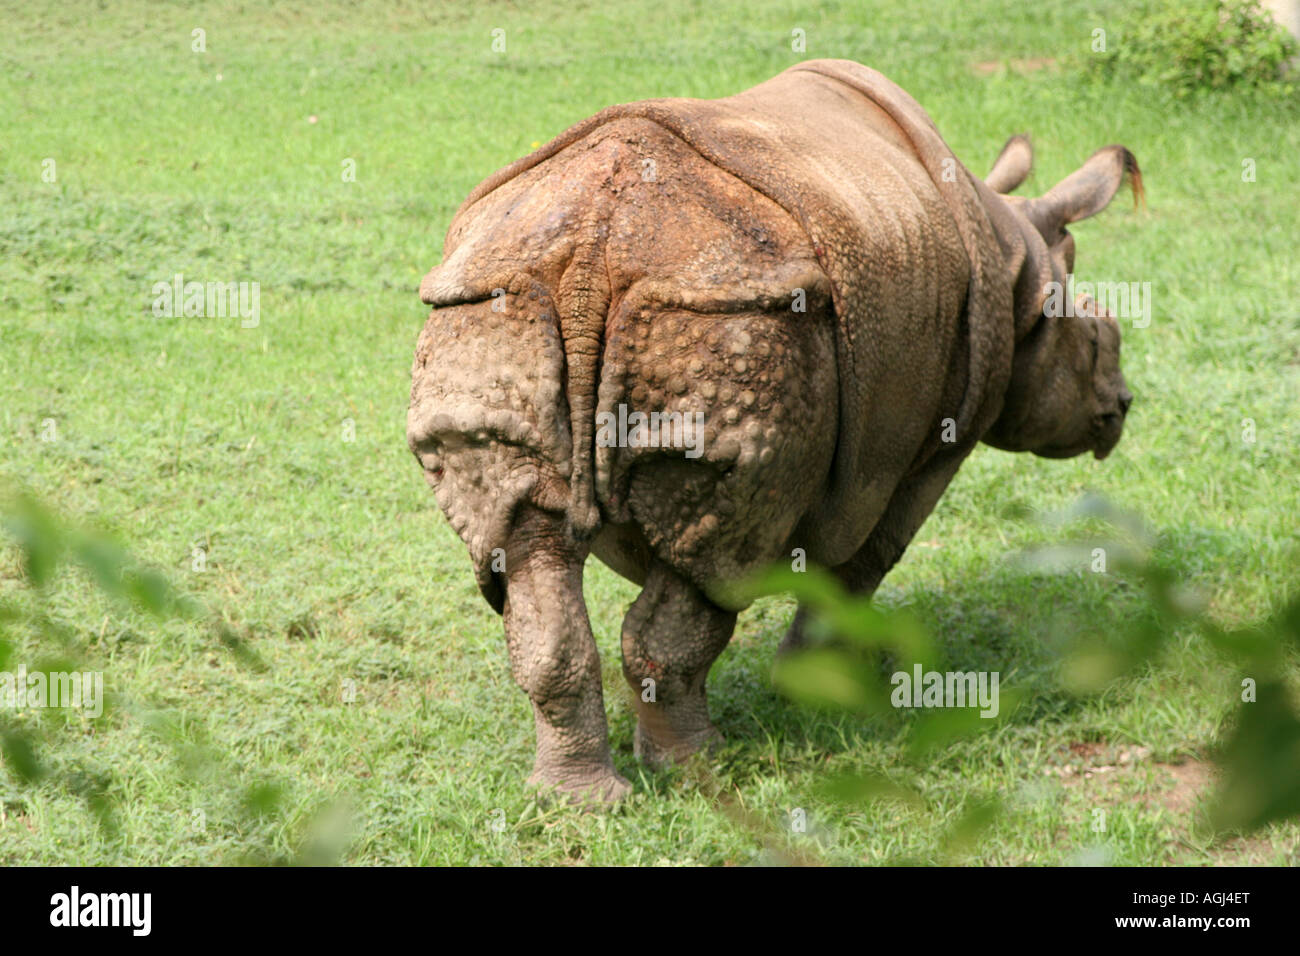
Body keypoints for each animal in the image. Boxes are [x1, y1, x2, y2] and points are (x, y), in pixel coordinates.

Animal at [408, 59, 1141, 801]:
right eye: (1098, 336)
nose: (1122, 407)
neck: (1023, 274)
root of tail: (594, 247)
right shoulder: (927, 447)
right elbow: (861, 564)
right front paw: (817, 682)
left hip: (493, 301)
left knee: (532, 547)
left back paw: (582, 800)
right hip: (729, 316)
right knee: (716, 561)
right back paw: (699, 766)